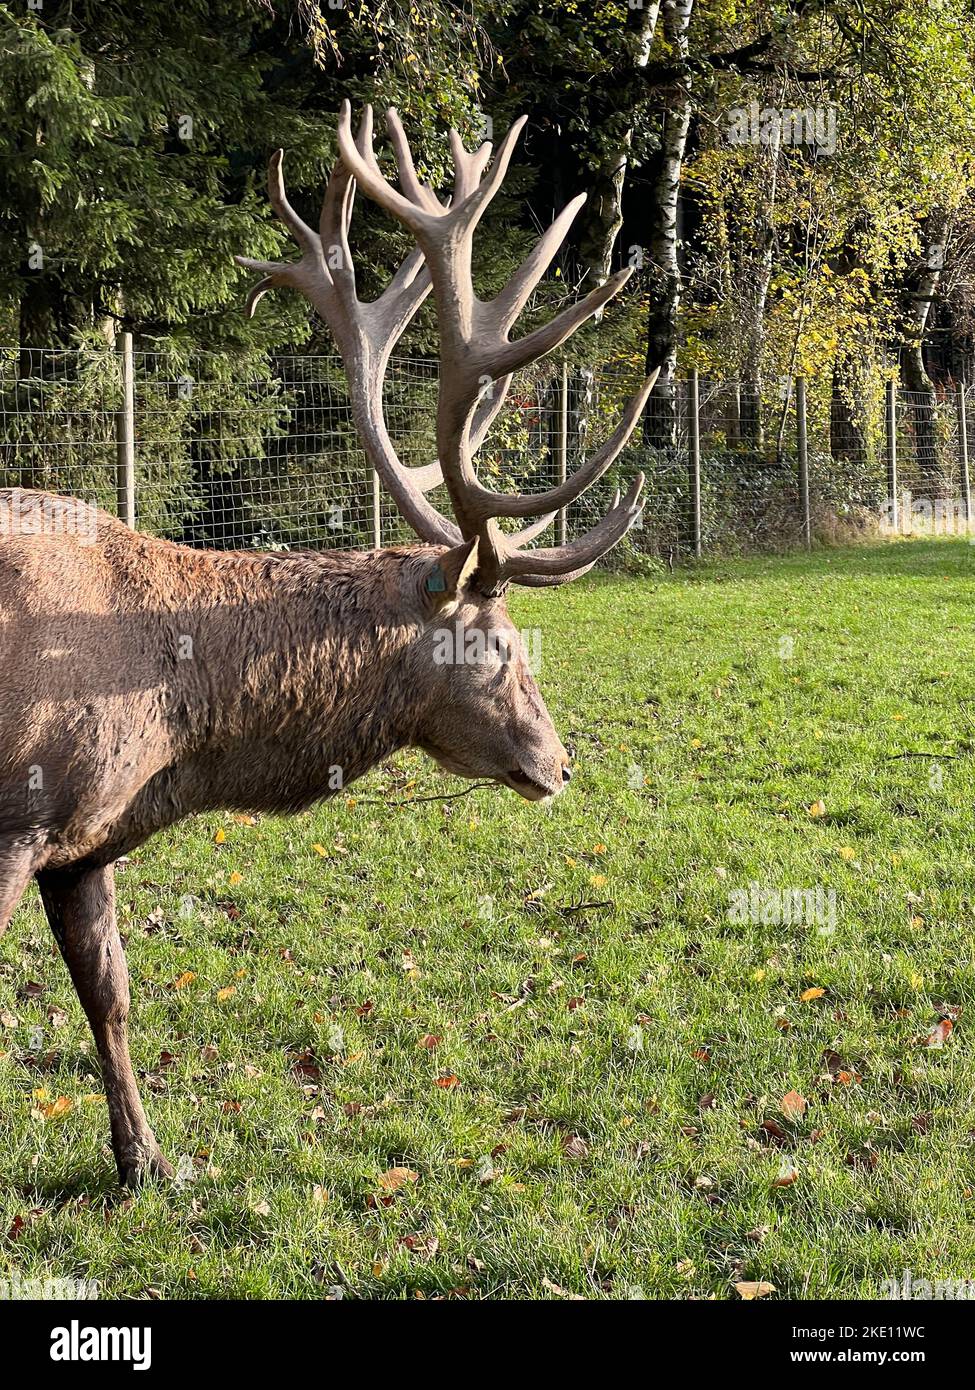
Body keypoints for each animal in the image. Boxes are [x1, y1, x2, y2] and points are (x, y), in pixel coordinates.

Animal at [0, 103, 656, 1187]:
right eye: (500, 645)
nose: (561, 764)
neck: (170, 739)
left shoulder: (78, 842)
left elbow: (112, 996)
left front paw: (146, 1163)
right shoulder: (17, 818)